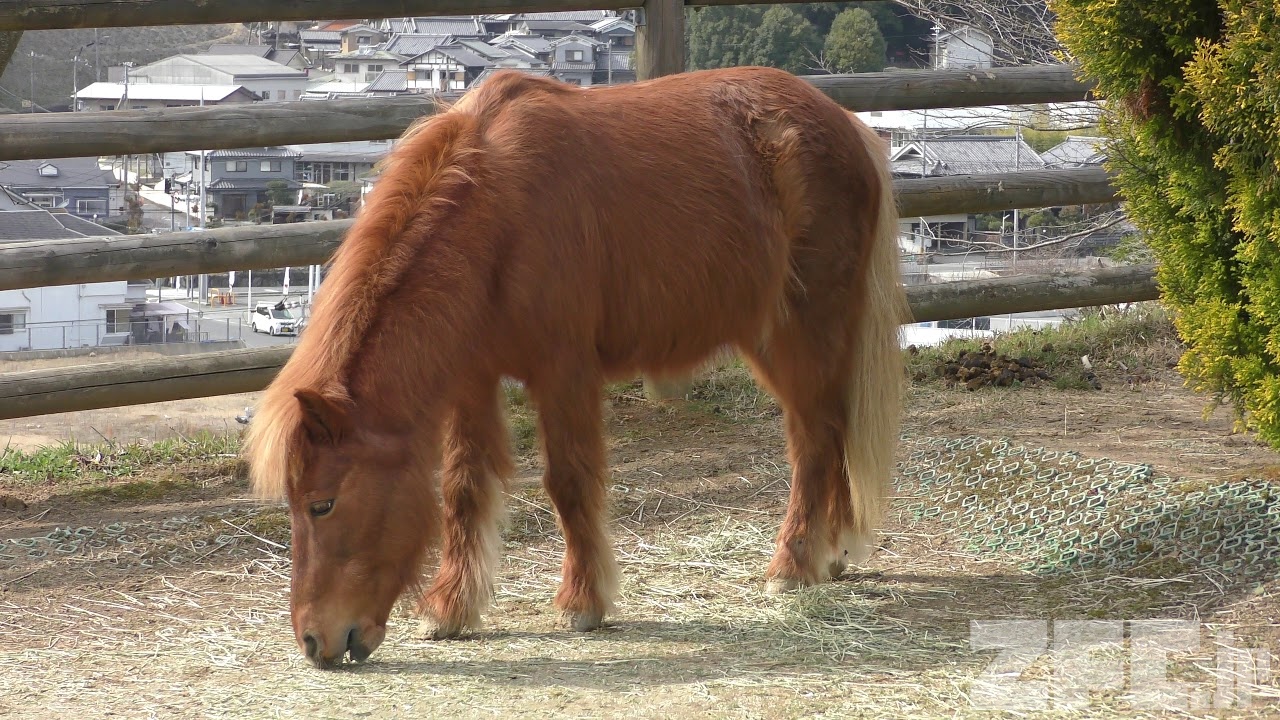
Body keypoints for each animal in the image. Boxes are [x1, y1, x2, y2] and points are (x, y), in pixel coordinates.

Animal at [243, 66, 910, 669]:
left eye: (322, 504)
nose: (314, 643)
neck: (500, 213)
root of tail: (846, 124)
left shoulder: (562, 372)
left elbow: (568, 481)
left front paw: (582, 603)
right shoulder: (472, 382)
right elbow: (463, 488)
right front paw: (451, 608)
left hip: (802, 328)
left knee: (814, 441)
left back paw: (793, 565)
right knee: (828, 429)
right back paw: (832, 553)